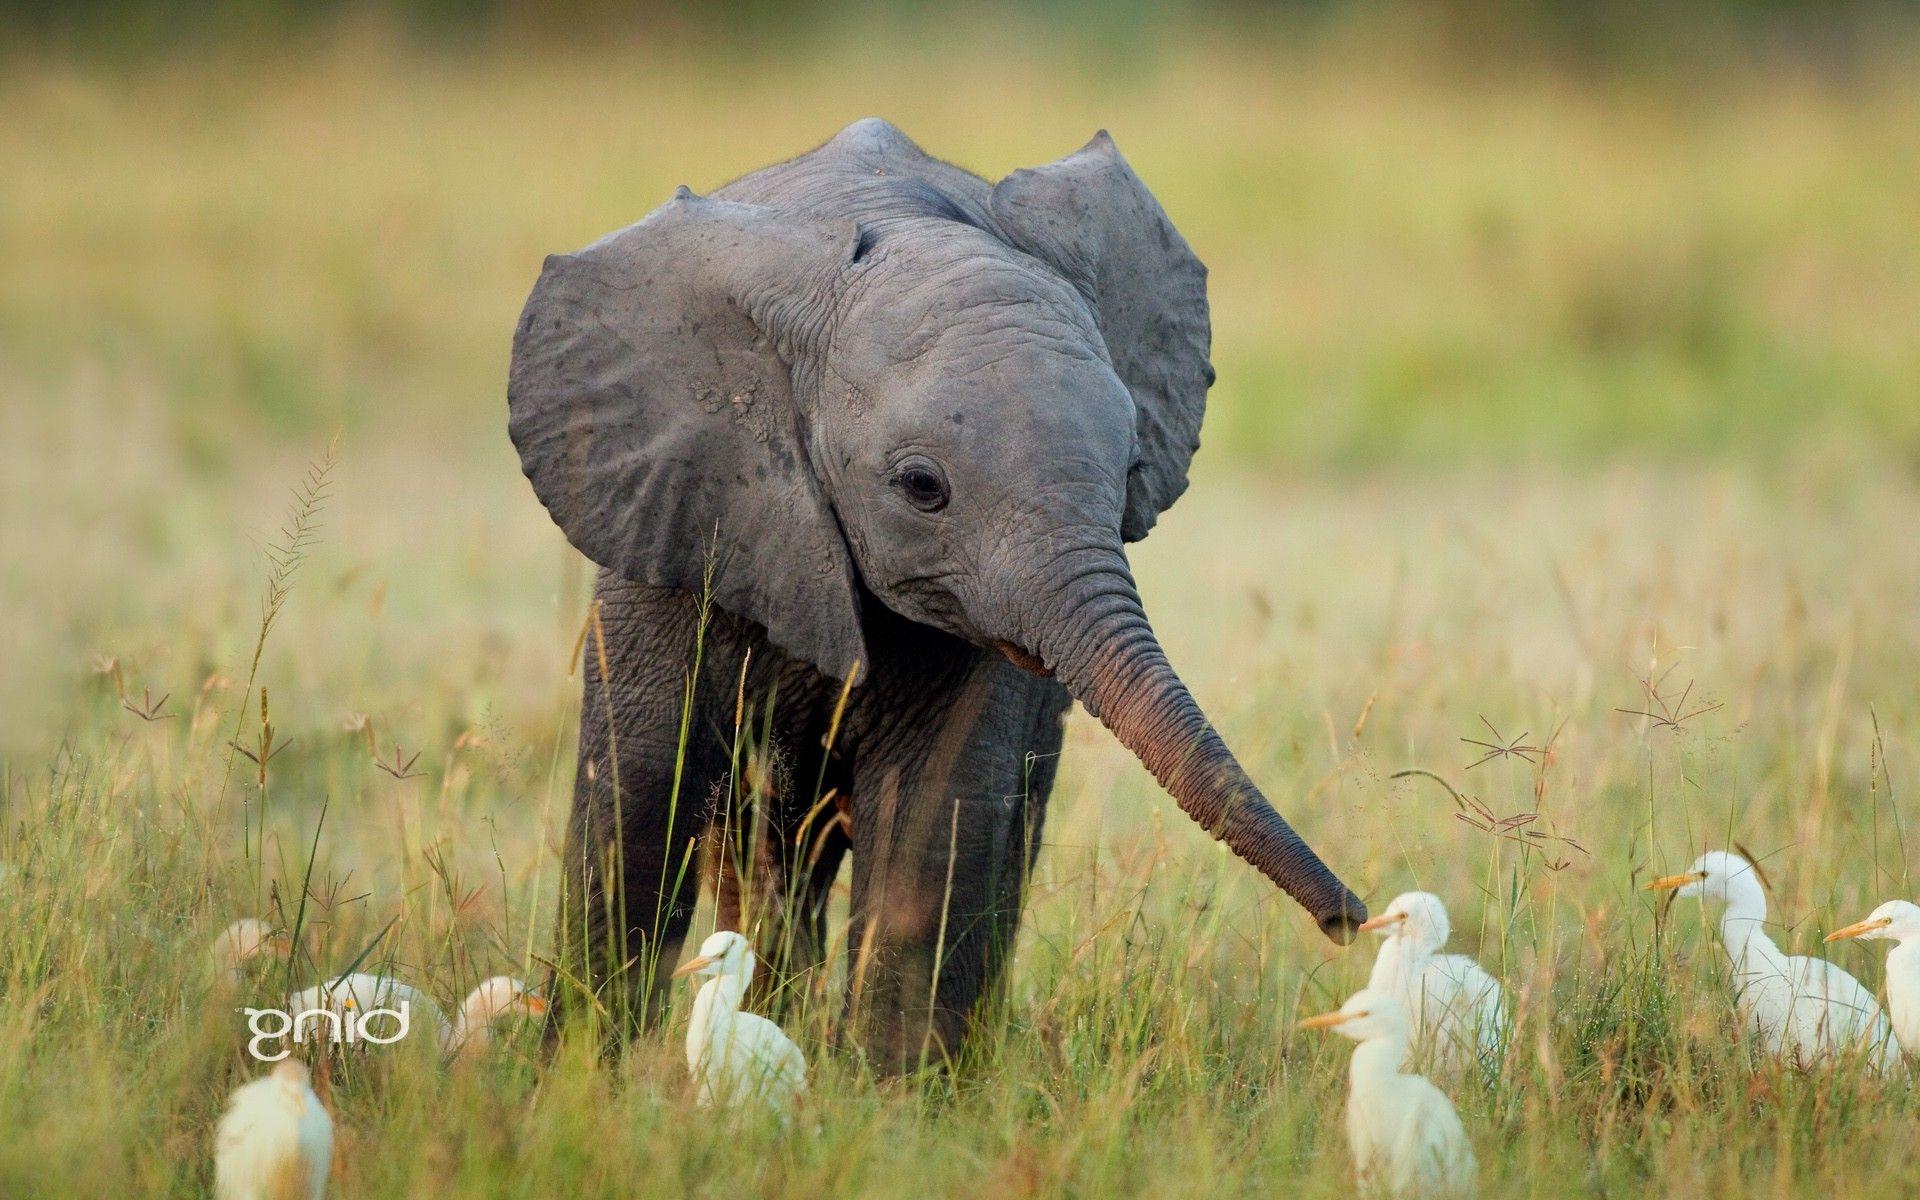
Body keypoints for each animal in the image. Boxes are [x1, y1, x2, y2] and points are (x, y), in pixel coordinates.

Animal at [508, 117, 1365, 1071]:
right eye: (923, 488)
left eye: (1132, 469)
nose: (1350, 921)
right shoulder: (675, 512)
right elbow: (637, 798)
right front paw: (579, 1078)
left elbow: (937, 816)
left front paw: (893, 1098)